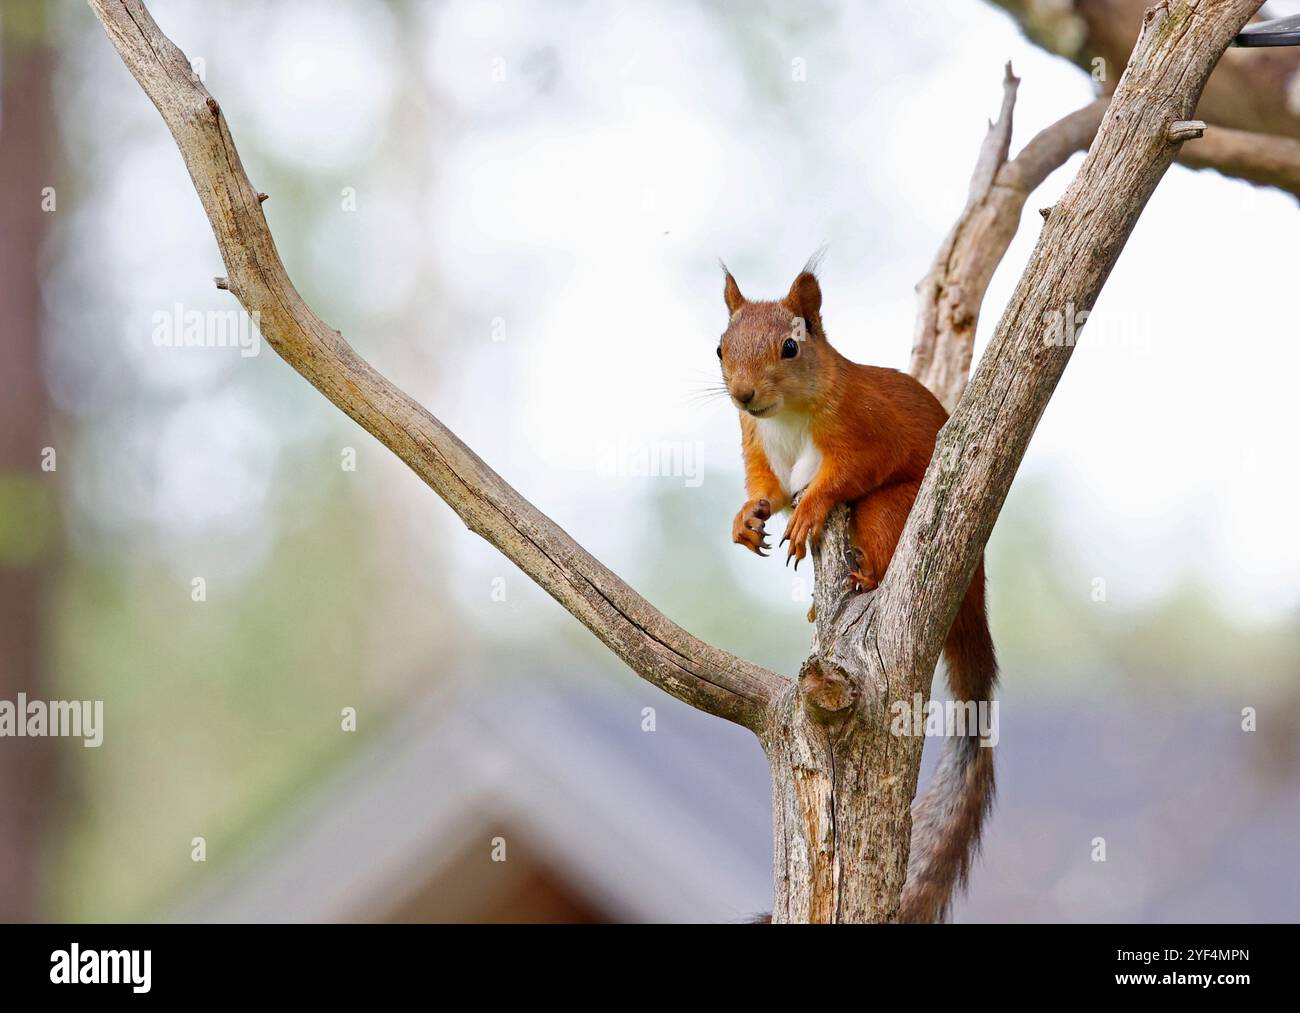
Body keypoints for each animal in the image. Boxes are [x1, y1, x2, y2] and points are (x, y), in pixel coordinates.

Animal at [719, 263, 997, 924]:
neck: (785, 417)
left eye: (790, 346)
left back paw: (865, 580)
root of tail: (972, 581)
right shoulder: (758, 446)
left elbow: (843, 477)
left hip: (888, 513)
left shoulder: (862, 431)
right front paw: (747, 519)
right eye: (719, 348)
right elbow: (768, 490)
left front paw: (809, 513)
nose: (743, 396)